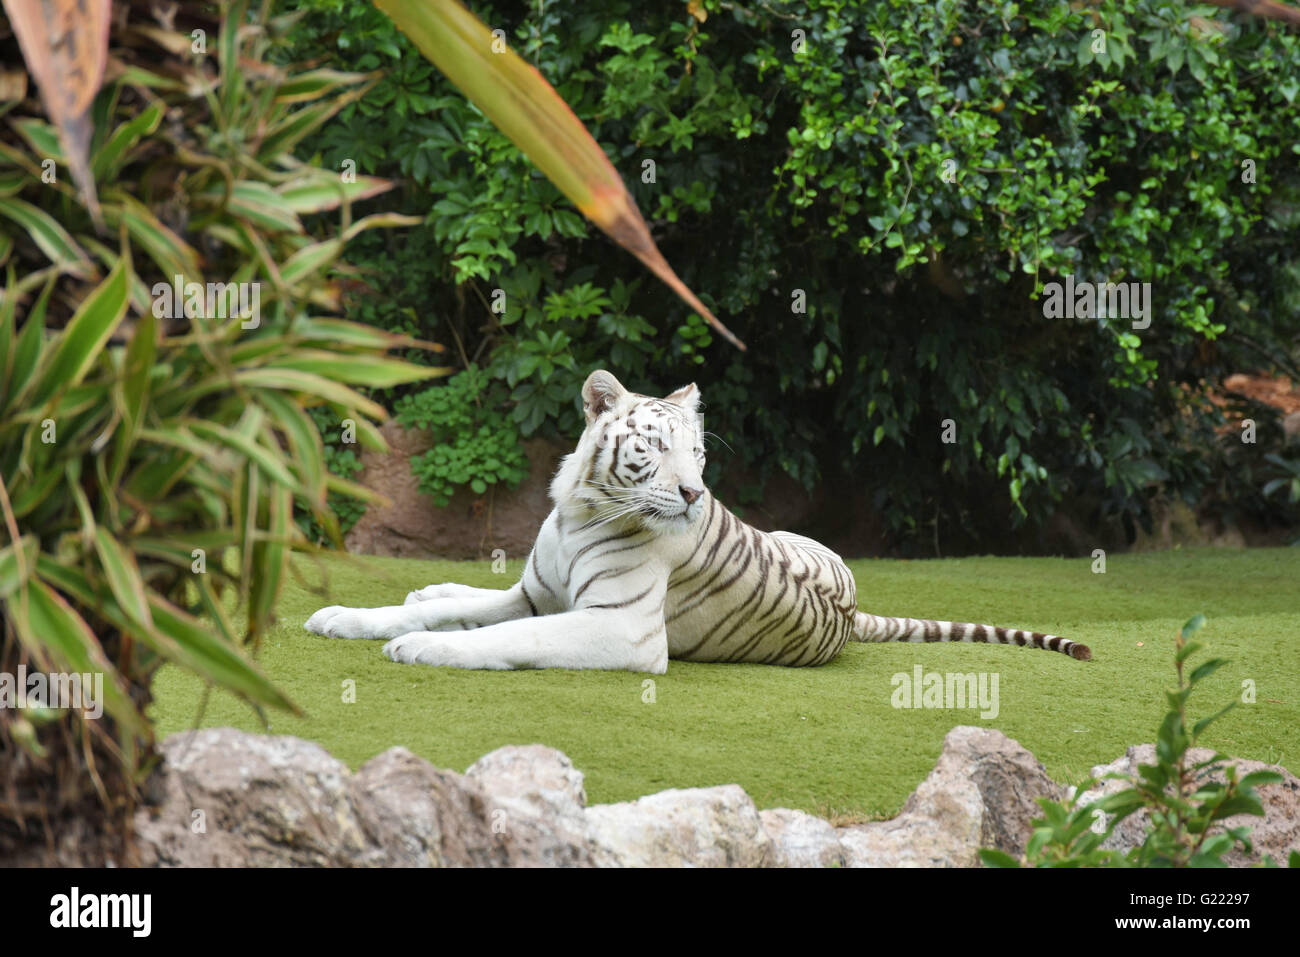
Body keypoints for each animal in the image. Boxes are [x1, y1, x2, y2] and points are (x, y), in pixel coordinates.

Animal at [304, 370, 1092, 672]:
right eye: (655, 448)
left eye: (700, 453)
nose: (692, 493)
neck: (581, 509)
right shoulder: (534, 592)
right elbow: (439, 609)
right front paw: (345, 618)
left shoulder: (618, 626)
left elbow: (503, 636)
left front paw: (422, 649)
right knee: (445, 594)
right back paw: (426, 587)